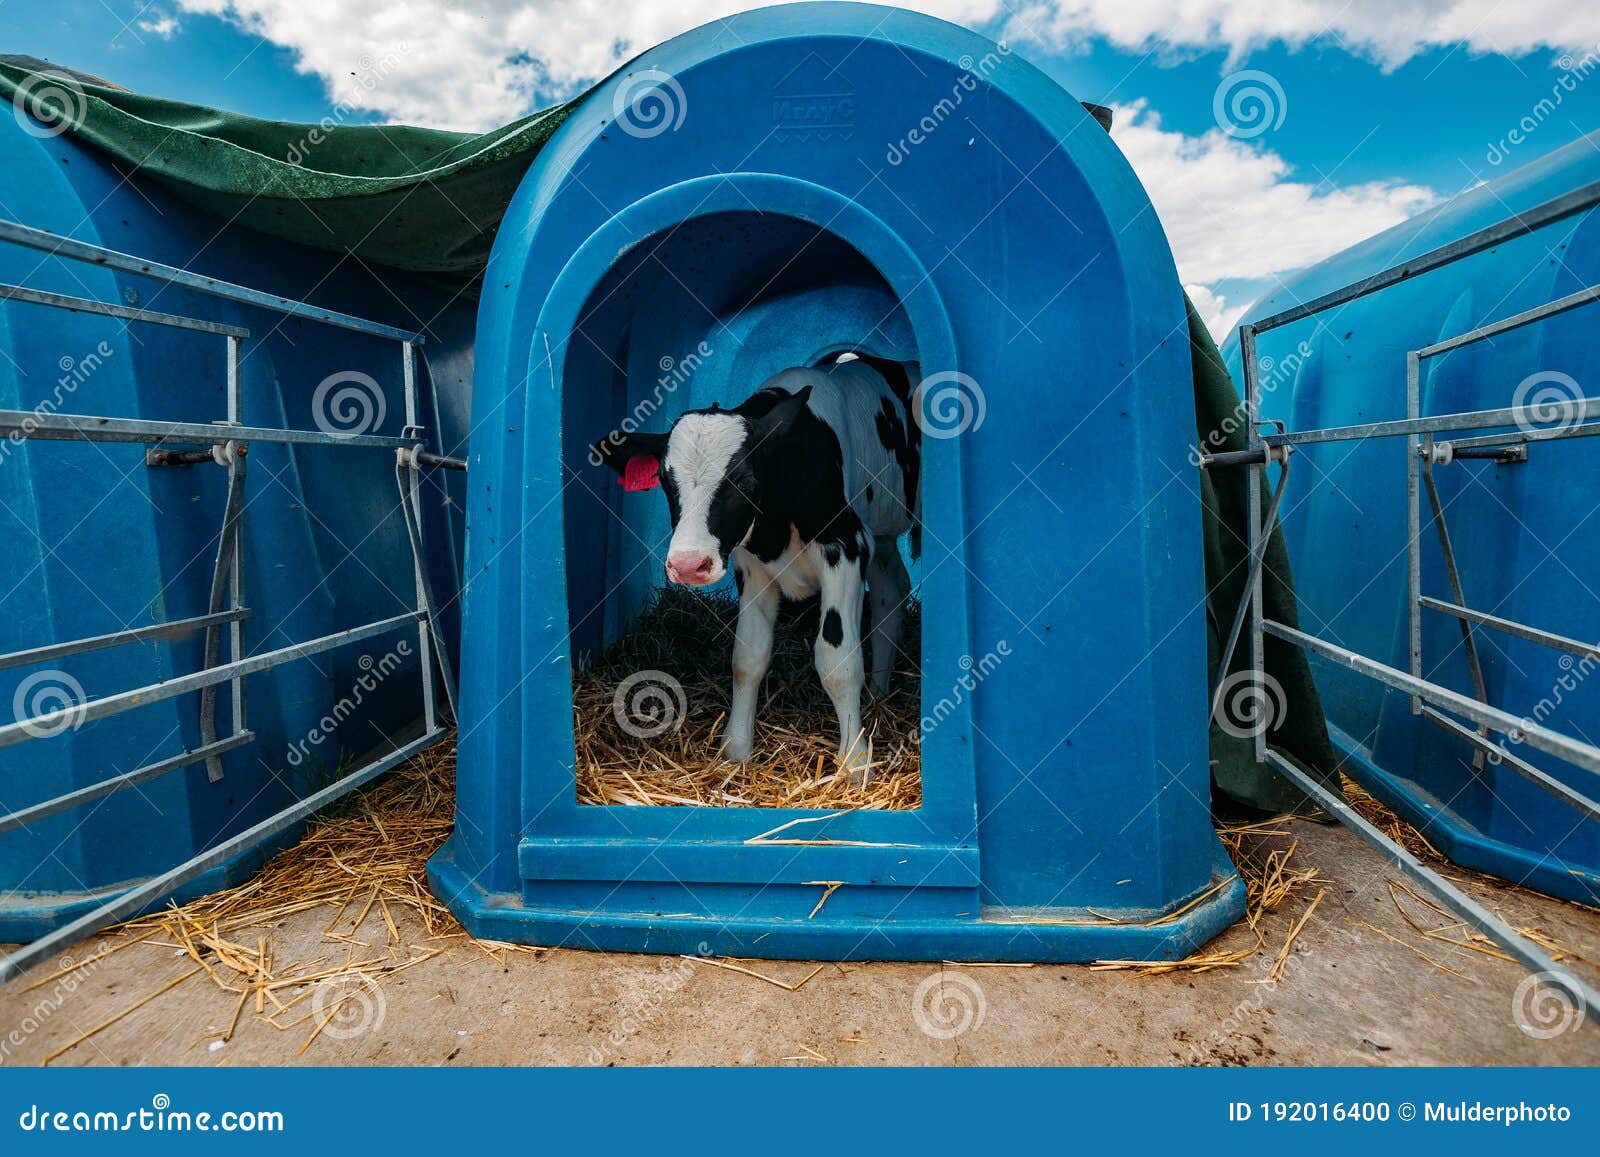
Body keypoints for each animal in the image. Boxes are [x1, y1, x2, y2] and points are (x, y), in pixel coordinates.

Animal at [593, 356, 920, 786]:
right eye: (664, 480)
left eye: (744, 481)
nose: (688, 564)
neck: (776, 527)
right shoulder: (751, 565)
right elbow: (747, 656)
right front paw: (735, 749)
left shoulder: (846, 546)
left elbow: (838, 660)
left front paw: (855, 761)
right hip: (880, 534)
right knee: (890, 590)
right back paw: (880, 693)